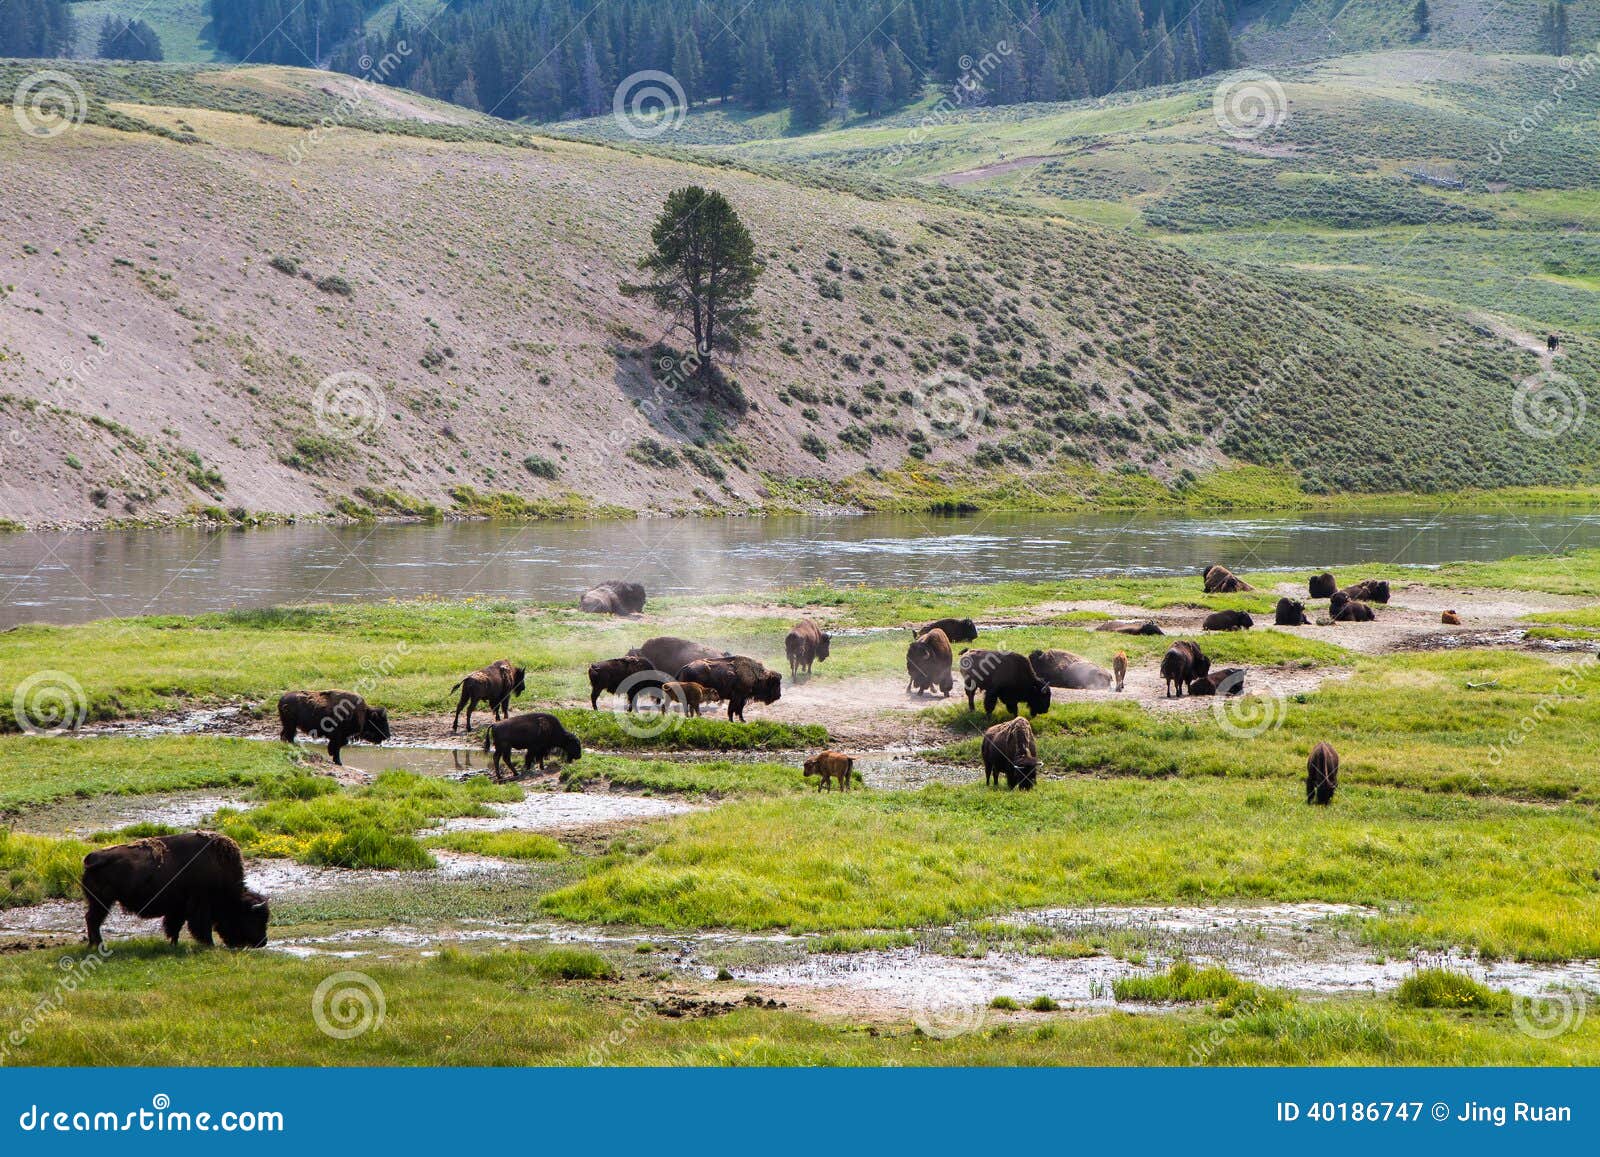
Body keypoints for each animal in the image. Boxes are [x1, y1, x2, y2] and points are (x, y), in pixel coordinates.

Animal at [82, 831, 268, 948]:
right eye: (254, 918)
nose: (263, 942)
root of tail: (92, 858)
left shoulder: (179, 908)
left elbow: (174, 926)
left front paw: (174, 944)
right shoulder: (199, 906)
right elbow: (201, 927)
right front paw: (209, 944)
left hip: (100, 902)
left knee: (91, 919)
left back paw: (92, 944)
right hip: (103, 903)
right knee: (93, 920)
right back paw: (98, 945)